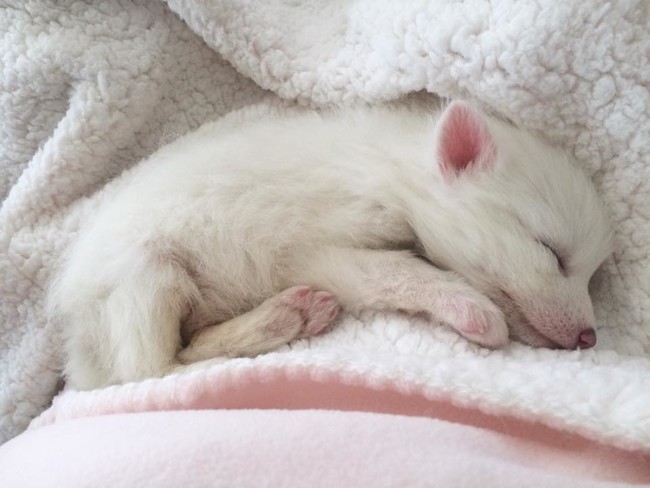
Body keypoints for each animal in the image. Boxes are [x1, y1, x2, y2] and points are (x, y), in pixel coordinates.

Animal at [49, 100, 613, 390]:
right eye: (551, 252)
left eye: (591, 274)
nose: (589, 337)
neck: (397, 172)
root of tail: (78, 351)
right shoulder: (311, 247)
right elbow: (396, 272)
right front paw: (468, 307)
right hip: (142, 275)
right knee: (149, 370)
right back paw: (255, 350)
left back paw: (282, 320)